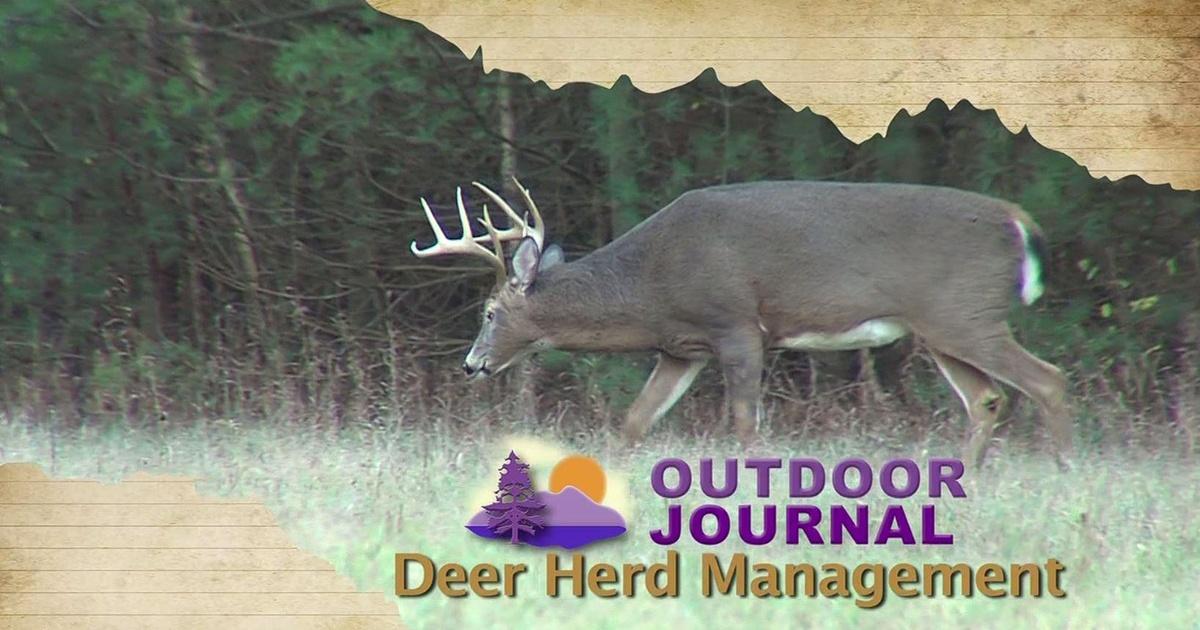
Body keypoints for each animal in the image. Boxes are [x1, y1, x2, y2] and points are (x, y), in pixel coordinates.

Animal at [410, 179, 1074, 471]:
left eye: (489, 312)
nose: (471, 364)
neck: (652, 285)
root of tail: (1018, 221)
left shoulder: (736, 324)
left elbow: (744, 422)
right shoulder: (682, 347)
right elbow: (633, 423)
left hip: (965, 314)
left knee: (1048, 379)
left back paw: (1063, 471)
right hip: (941, 328)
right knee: (987, 399)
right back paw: (965, 478)